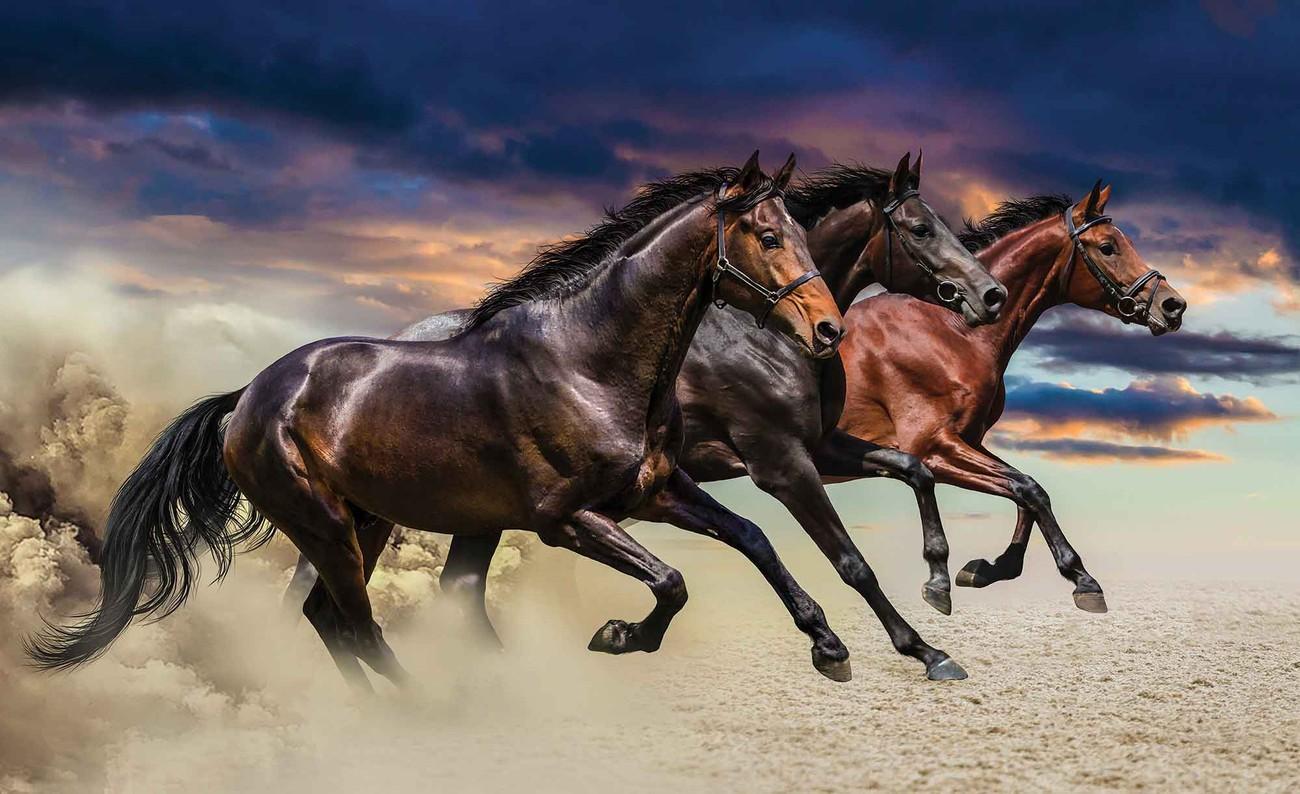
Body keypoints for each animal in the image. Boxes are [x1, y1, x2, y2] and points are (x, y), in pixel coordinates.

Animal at [28, 153, 861, 689]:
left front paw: (829, 646)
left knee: (328, 619)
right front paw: (619, 637)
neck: (588, 362)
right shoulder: (566, 519)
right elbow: (674, 580)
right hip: (323, 525)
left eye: (799, 231)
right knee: (357, 625)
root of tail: (249, 396)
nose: (829, 330)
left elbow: (750, 538)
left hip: (363, 522)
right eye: (768, 235)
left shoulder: (655, 493)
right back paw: (432, 714)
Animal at [287, 152, 1007, 681]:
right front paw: (920, 649)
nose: (989, 295)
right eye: (921, 228)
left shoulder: (820, 447)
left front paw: (938, 586)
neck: (762, 337)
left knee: (446, 589)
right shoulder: (781, 463)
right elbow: (849, 559)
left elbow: (910, 471)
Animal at [834, 181, 1188, 613]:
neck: (952, 329)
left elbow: (1026, 489)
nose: (1173, 305)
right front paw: (1082, 579)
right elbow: (1029, 489)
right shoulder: (932, 447)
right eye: (1108, 247)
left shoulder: (966, 441)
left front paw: (991, 568)